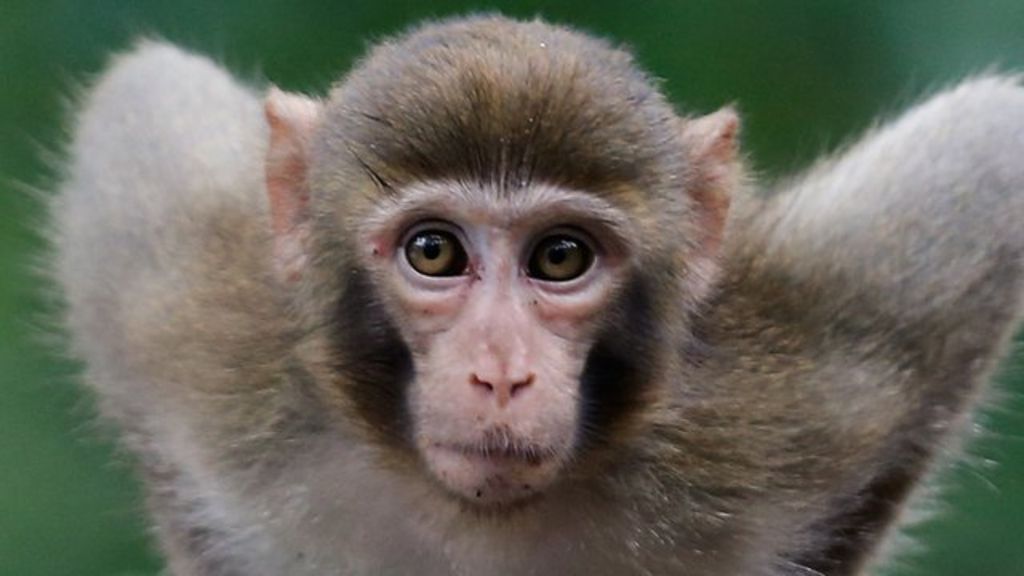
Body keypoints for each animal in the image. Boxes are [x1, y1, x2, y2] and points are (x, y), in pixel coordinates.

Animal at [51, 14, 1024, 576]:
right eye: (434, 251)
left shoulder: (839, 357)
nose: (501, 375)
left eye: (560, 258)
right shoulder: (184, 316)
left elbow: (991, 141)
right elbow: (138, 95)